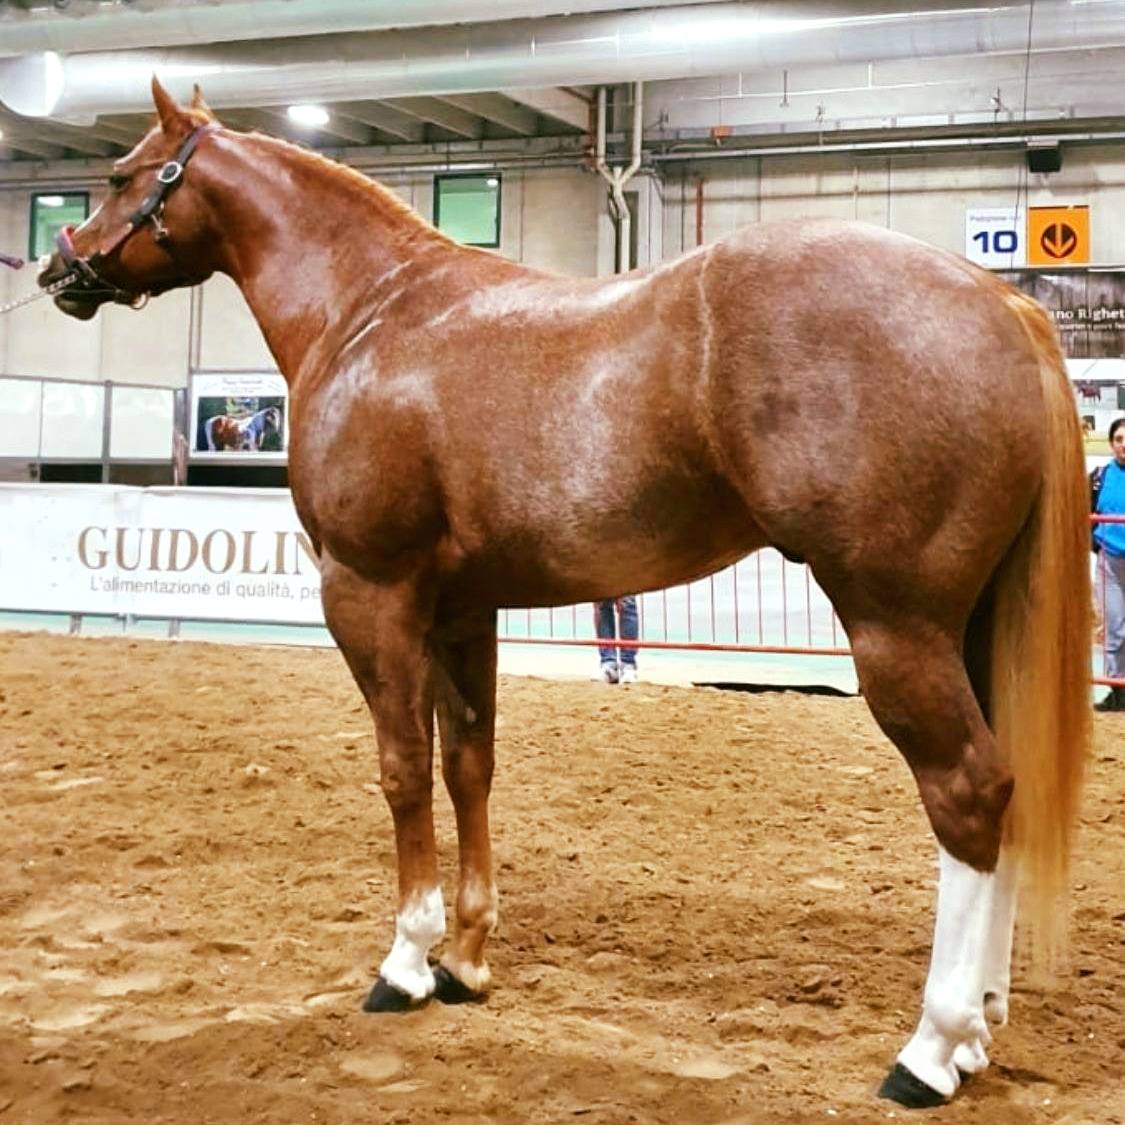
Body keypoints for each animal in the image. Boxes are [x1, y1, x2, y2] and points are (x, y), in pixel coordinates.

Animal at [38, 79, 1092, 1109]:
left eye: (124, 173)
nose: (60, 268)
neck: (374, 316)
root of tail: (1001, 305)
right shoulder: (462, 609)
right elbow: (468, 763)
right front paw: (466, 959)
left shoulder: (373, 593)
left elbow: (401, 768)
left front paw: (406, 961)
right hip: (970, 629)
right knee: (1001, 796)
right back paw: (978, 1032)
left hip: (895, 626)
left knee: (968, 793)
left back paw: (931, 1048)